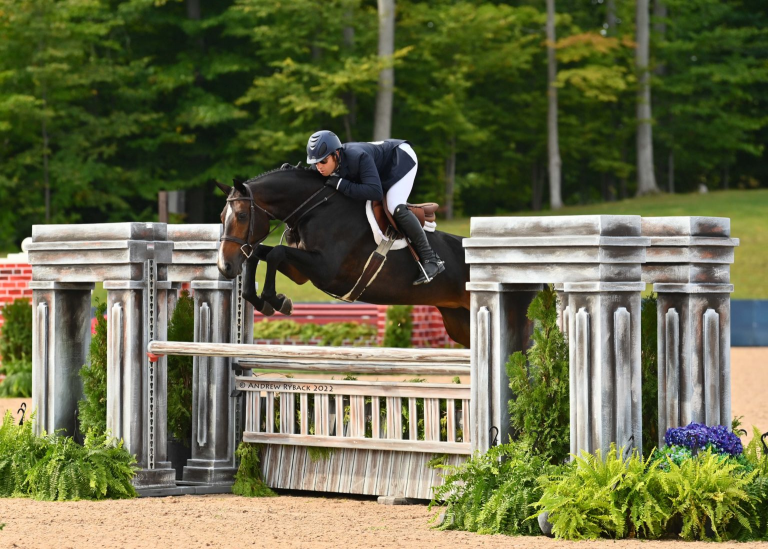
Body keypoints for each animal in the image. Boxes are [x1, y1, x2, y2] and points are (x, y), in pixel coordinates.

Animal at [215, 166, 471, 347]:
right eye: (220, 216)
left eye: (241, 215)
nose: (225, 266)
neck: (315, 208)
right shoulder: (301, 272)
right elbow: (259, 254)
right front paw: (262, 302)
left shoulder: (325, 270)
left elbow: (275, 253)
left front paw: (277, 301)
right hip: (459, 321)